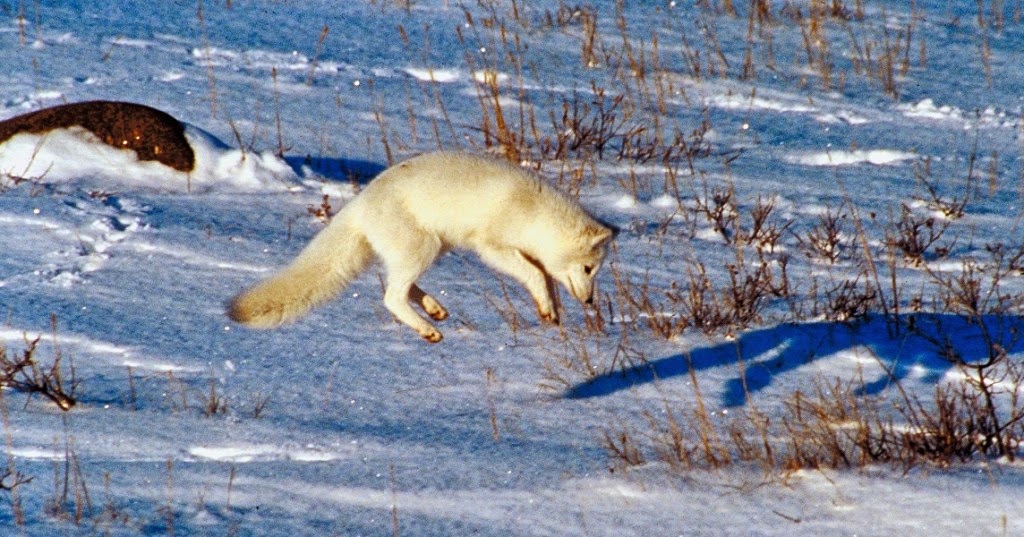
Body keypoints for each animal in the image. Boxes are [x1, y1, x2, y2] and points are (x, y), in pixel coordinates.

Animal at [227, 151, 617, 342]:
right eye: (588, 268)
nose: (589, 301)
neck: (535, 215)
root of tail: (360, 202)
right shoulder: (491, 246)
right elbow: (534, 273)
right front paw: (548, 306)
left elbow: (544, 278)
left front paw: (550, 310)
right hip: (424, 247)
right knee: (391, 296)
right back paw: (429, 329)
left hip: (429, 248)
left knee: (399, 284)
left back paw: (434, 309)